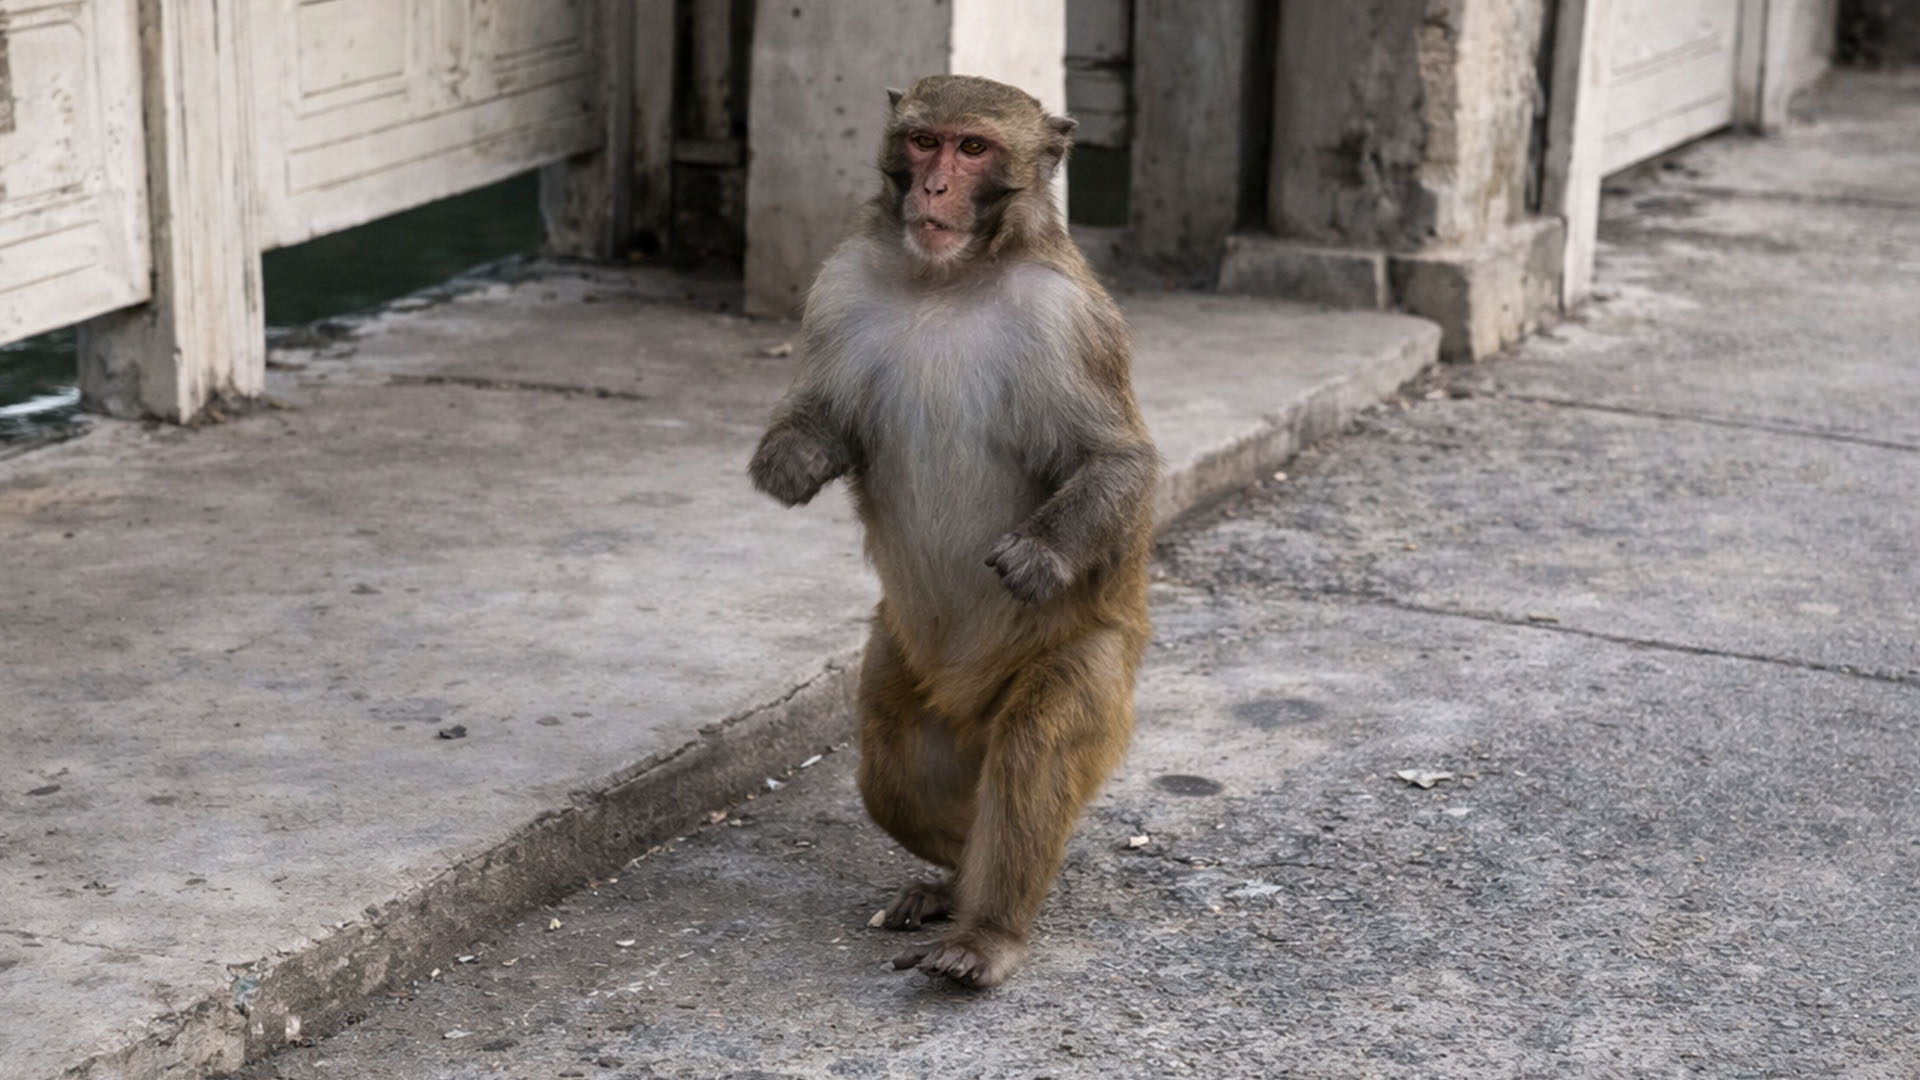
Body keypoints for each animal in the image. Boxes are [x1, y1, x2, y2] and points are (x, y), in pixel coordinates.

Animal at [748, 75, 1158, 988]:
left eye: (974, 149)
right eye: (924, 140)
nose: (934, 188)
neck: (950, 279)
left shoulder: (1070, 320)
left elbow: (1117, 459)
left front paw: (1039, 555)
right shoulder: (840, 282)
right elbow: (820, 412)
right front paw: (794, 460)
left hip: (1093, 663)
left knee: (1034, 748)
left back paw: (989, 927)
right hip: (904, 665)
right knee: (891, 769)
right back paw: (952, 879)